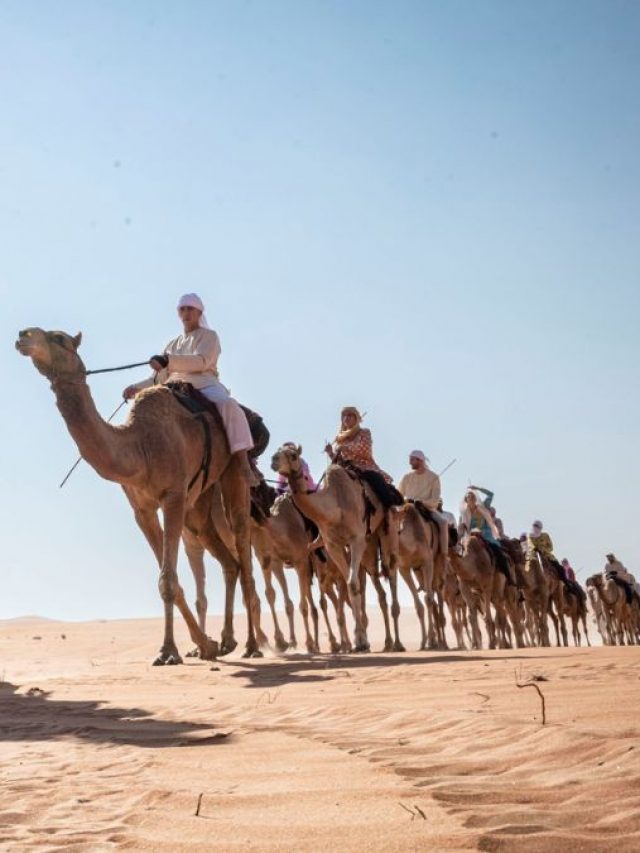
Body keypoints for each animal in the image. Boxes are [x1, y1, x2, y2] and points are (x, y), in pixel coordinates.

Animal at [16, 327, 262, 663]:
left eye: (60, 339)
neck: (139, 445)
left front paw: (170, 650)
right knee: (228, 561)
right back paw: (226, 641)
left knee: (242, 548)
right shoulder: (142, 509)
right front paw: (201, 646)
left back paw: (252, 645)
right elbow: (168, 580)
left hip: (233, 469)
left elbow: (168, 579)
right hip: (200, 502)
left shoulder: (172, 497)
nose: (23, 335)